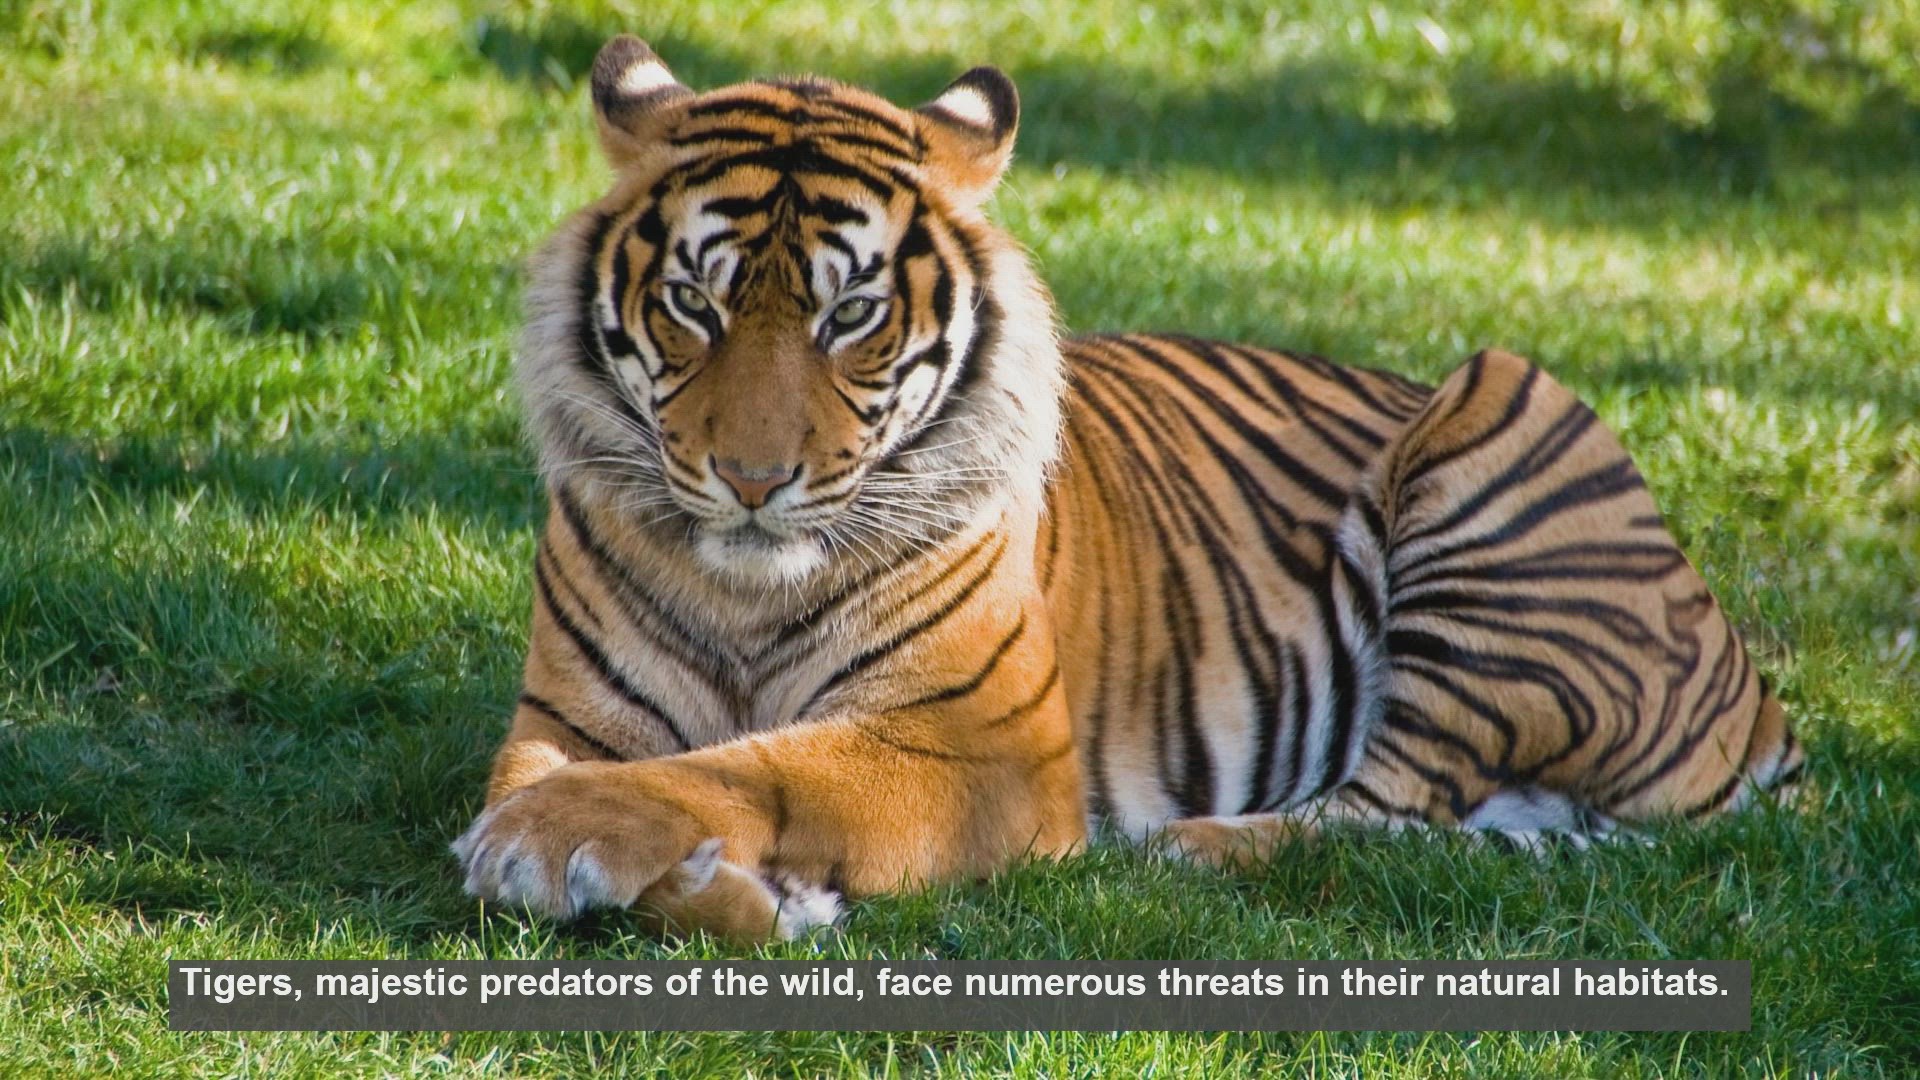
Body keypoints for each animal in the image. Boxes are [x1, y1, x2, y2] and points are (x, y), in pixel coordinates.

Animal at [451, 35, 1804, 941]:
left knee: (1389, 810)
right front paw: (715, 887)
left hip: (1502, 406)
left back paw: (1184, 850)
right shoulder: (566, 715)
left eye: (851, 316)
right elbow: (597, 777)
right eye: (695, 302)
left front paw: (552, 844)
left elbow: (755, 767)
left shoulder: (981, 746)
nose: (749, 480)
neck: (747, 590)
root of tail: (1759, 698)